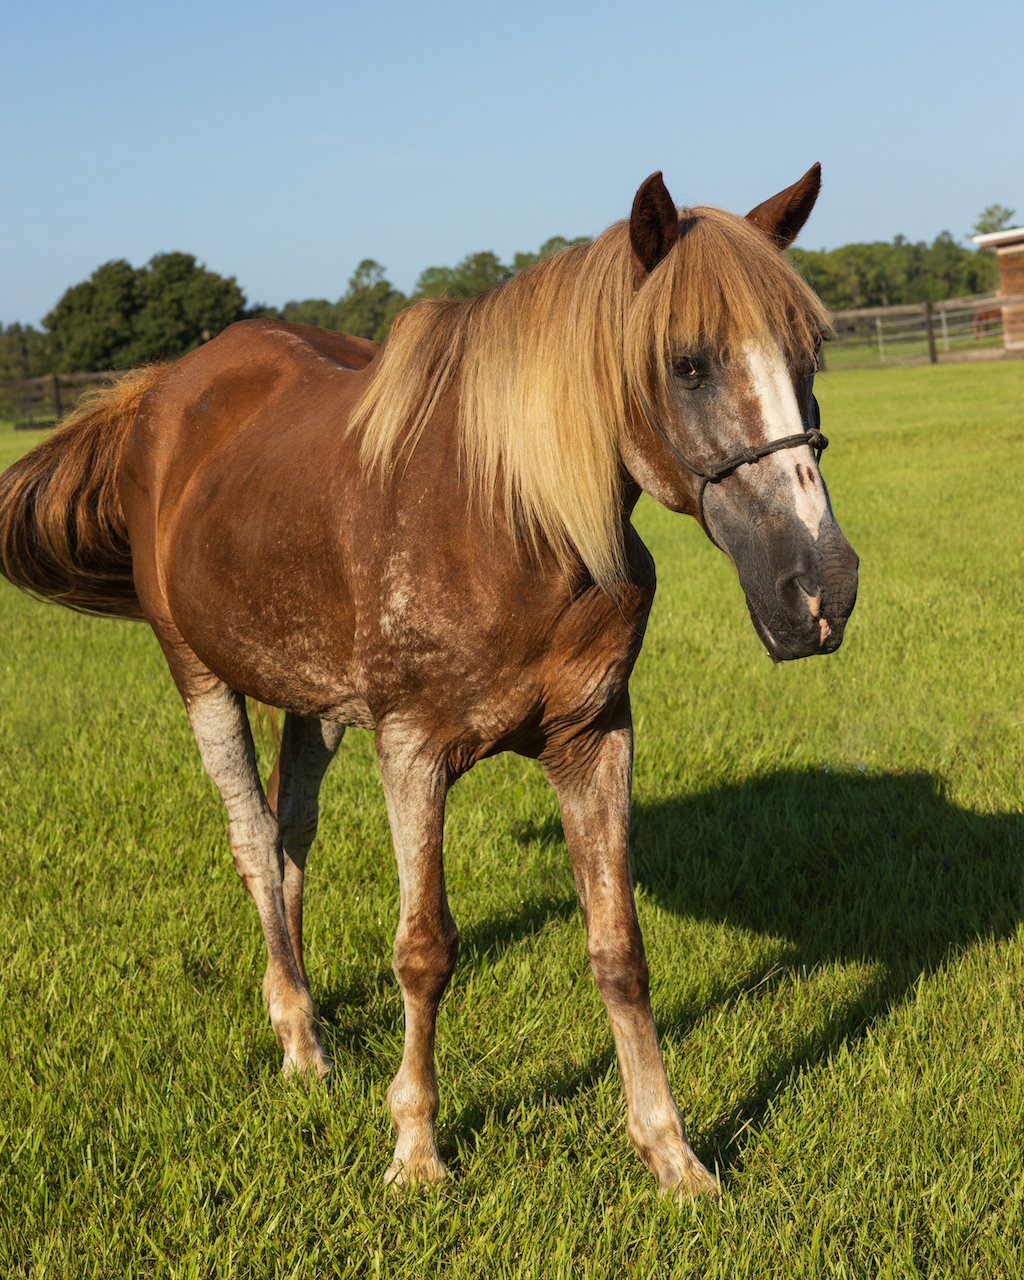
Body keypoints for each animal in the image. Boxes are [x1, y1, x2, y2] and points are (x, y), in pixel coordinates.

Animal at [0, 164, 859, 1201]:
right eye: (686, 363)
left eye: (809, 352)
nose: (819, 590)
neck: (516, 520)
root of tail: (162, 388)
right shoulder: (412, 752)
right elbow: (424, 949)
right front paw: (415, 1150)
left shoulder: (594, 740)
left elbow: (618, 950)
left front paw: (671, 1153)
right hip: (199, 673)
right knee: (252, 841)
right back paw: (299, 1043)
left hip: (317, 703)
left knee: (289, 833)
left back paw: (302, 1011)